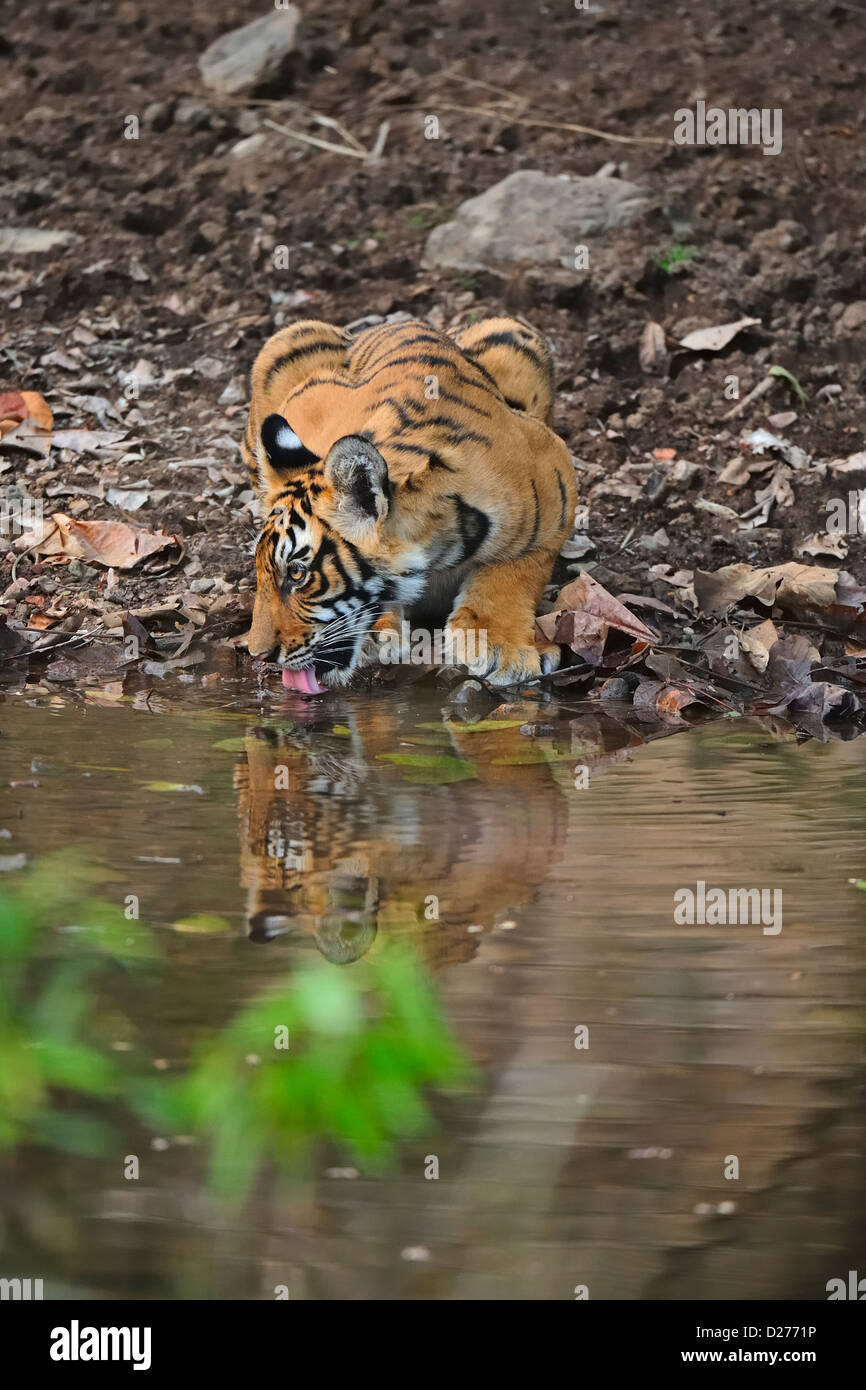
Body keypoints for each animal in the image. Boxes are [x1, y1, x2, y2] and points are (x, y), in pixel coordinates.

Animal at [240, 315, 577, 693]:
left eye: (297, 574)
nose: (258, 654)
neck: (433, 555)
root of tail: (399, 323)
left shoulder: (556, 481)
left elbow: (516, 570)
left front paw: (502, 649)